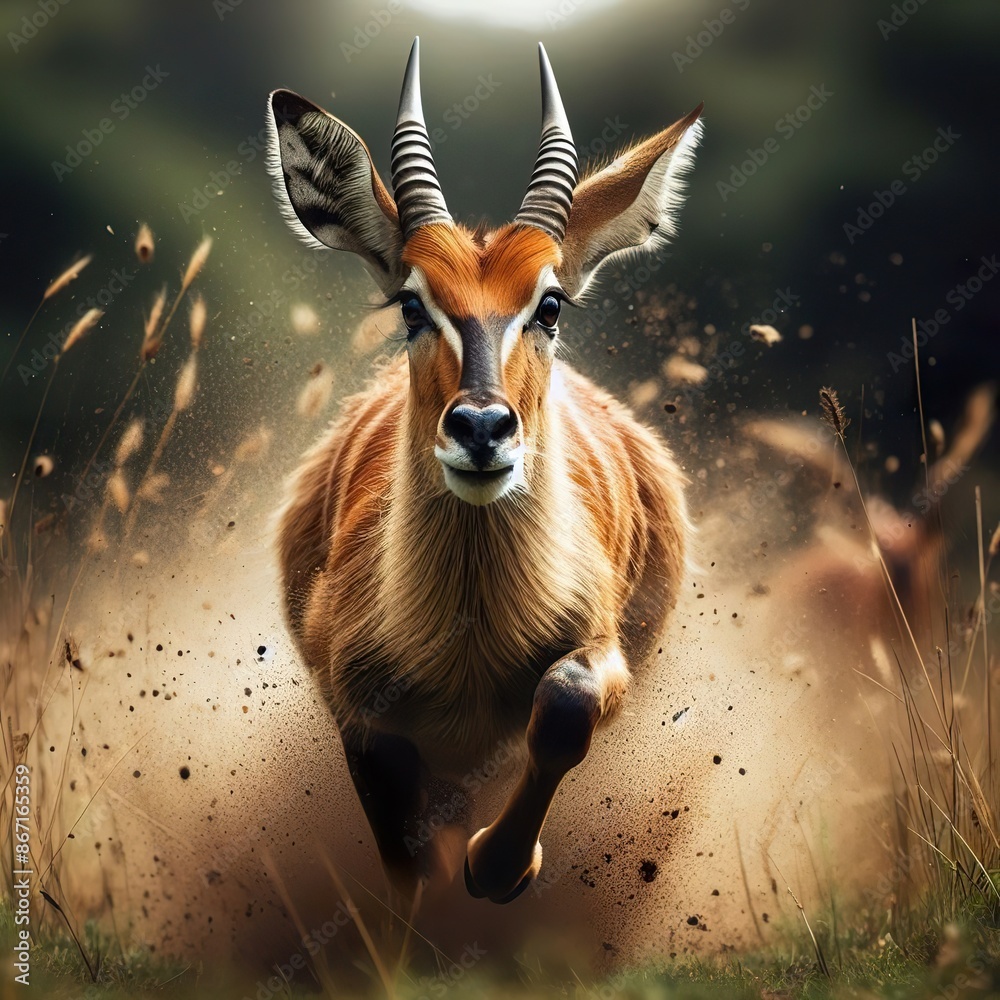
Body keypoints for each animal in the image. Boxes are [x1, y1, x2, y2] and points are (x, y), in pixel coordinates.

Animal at [266, 38, 702, 904]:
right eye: (410, 303)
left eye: (551, 303)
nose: (480, 428)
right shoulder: (357, 713)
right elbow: (404, 855)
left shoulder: (600, 653)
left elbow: (564, 704)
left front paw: (497, 866)